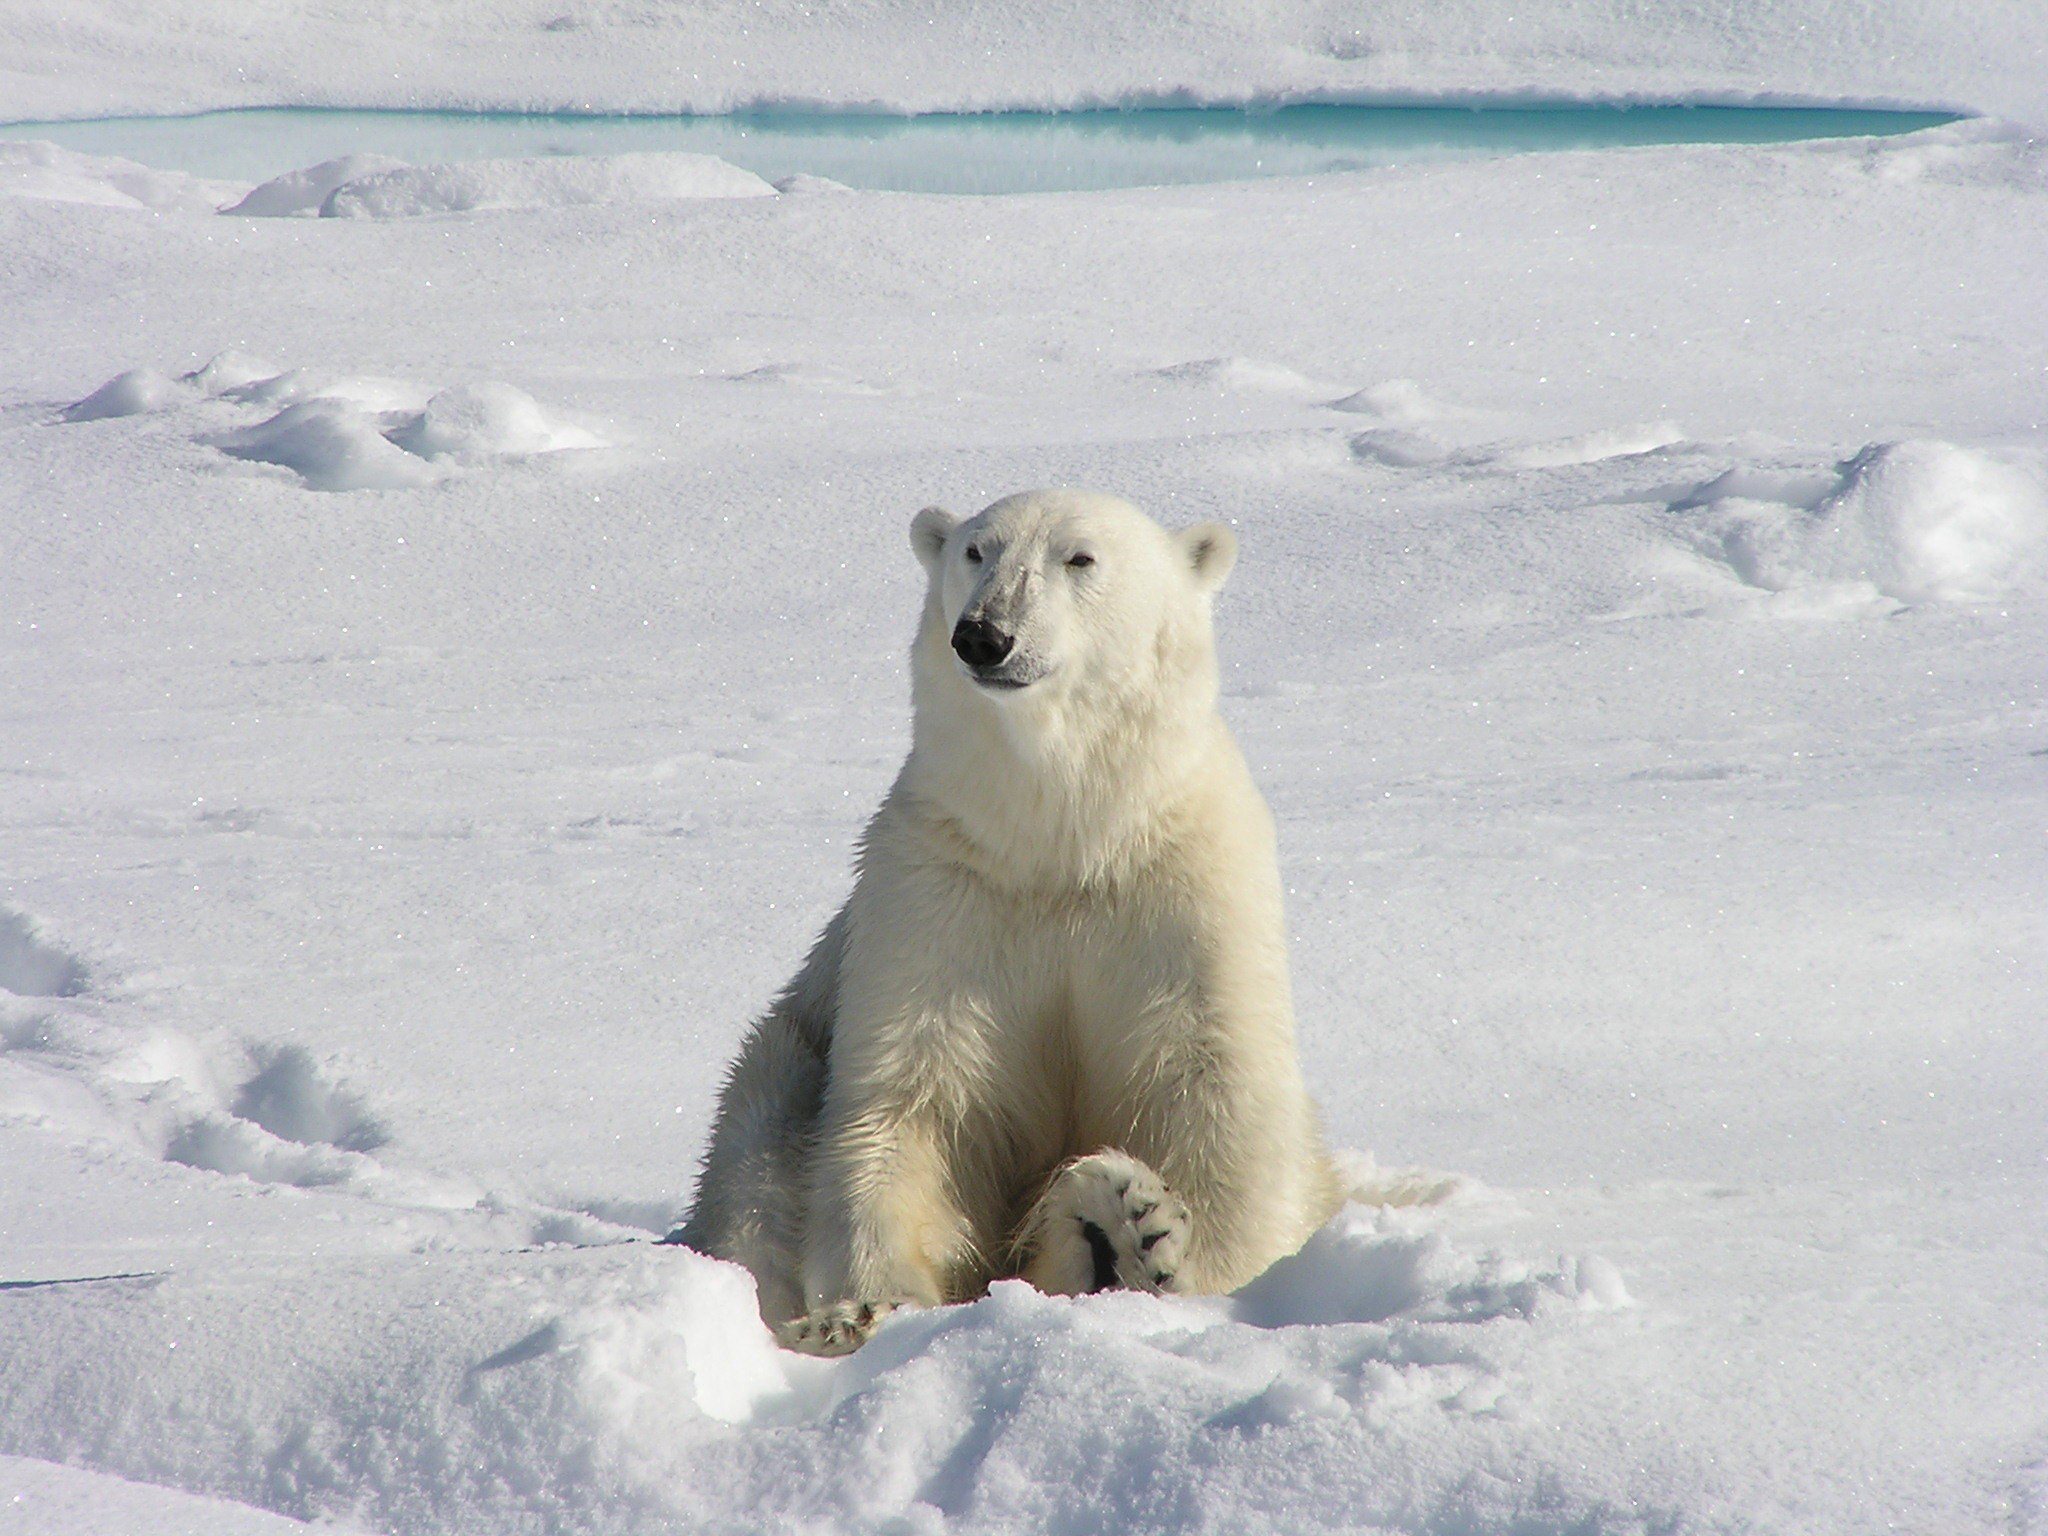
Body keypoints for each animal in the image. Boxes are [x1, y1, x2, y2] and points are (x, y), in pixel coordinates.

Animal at [672, 488, 1347, 1355]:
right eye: (975, 551)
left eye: (1080, 557)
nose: (984, 635)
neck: (1062, 842)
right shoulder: (939, 897)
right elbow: (912, 1105)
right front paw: (865, 1307)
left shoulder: (1183, 893)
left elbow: (1213, 1090)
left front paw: (1195, 1269)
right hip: (781, 1060)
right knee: (757, 1157)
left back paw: (1123, 1224)